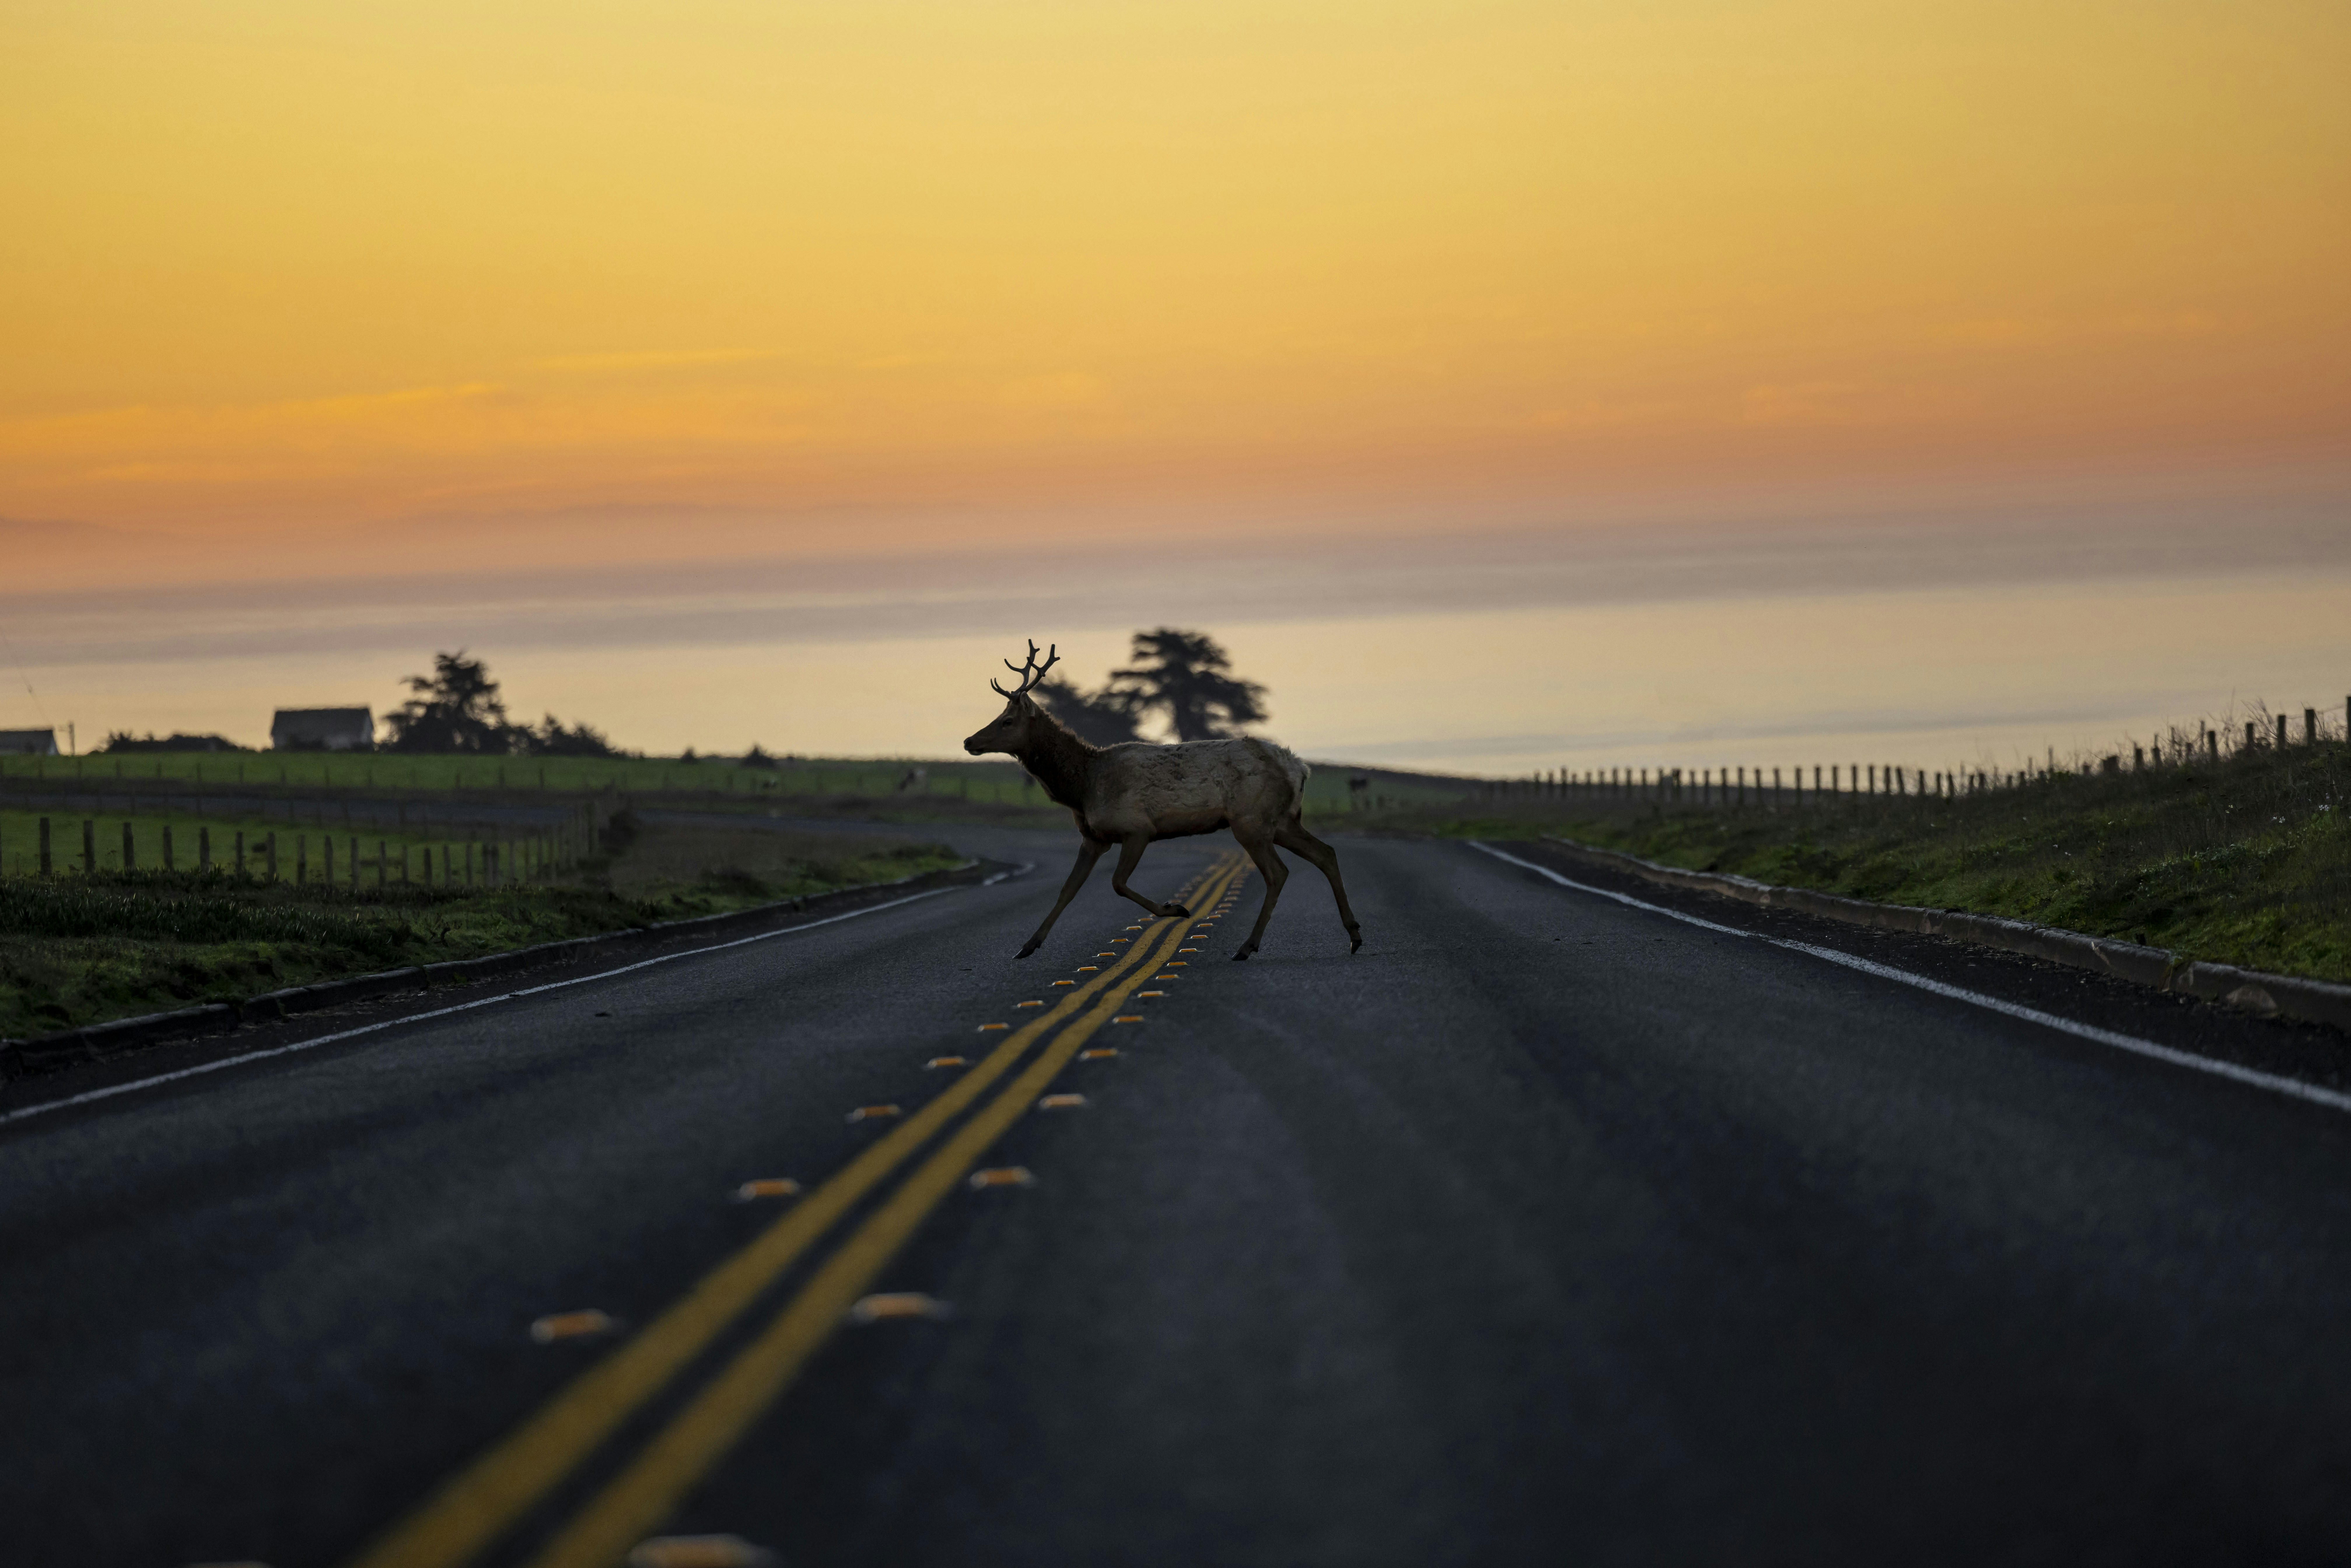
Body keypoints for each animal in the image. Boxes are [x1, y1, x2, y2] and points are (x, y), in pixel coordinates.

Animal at [965, 640, 1363, 962]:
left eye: (1007, 720)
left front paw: (1177, 909)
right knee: (1326, 853)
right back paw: (1354, 935)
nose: (969, 741)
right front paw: (1027, 946)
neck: (1083, 787)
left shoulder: (1136, 828)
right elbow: (1067, 891)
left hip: (1251, 821)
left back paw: (1247, 947)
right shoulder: (1093, 839)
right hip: (1281, 820)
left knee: (1278, 873)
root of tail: (1298, 768)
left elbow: (1118, 884)